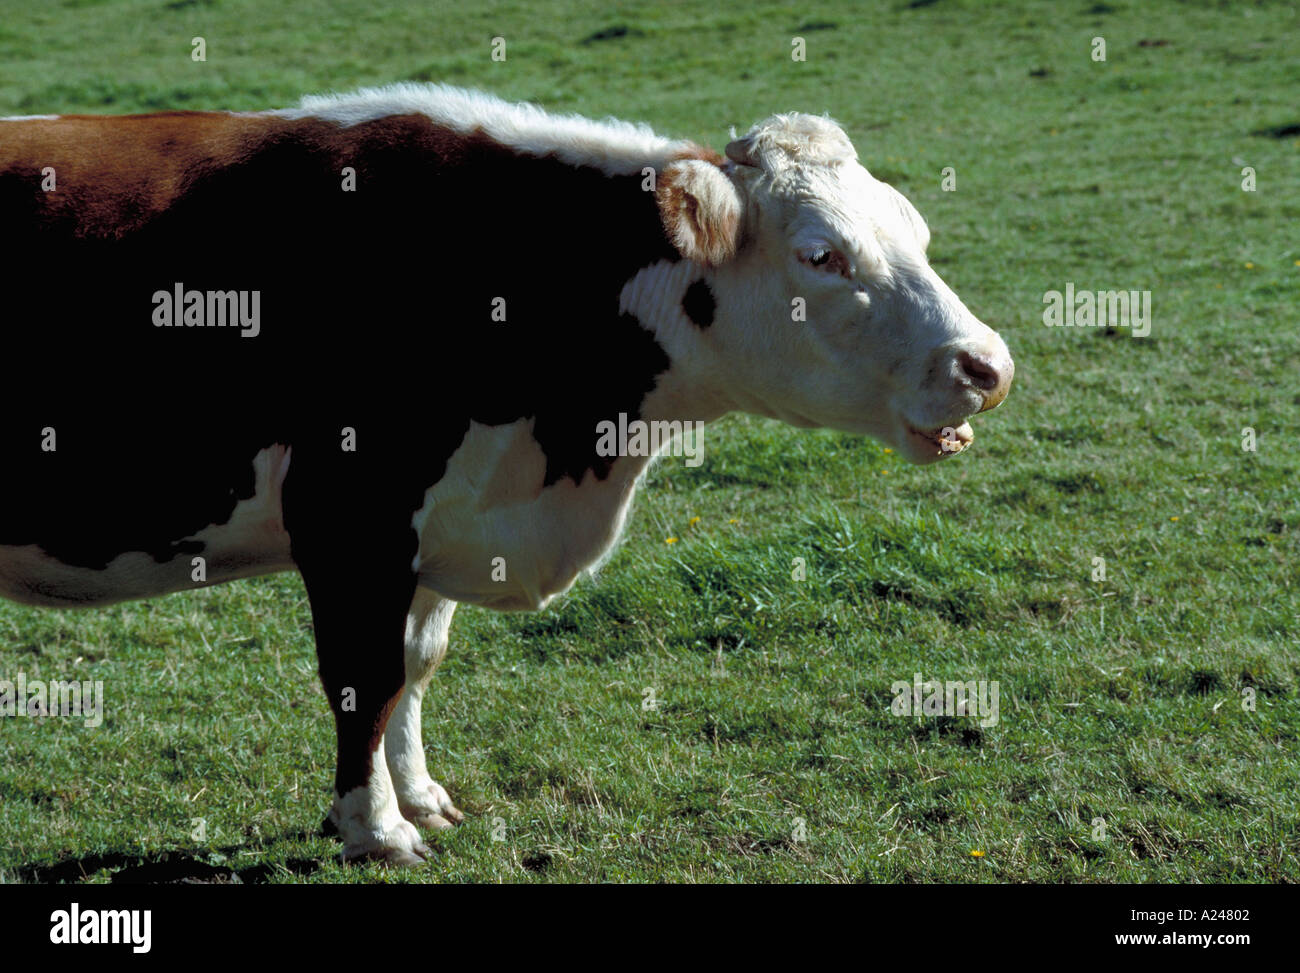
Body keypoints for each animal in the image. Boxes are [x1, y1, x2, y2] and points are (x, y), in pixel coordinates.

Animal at [0, 84, 1012, 865]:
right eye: (821, 254)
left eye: (916, 229)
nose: (988, 365)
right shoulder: (353, 520)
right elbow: (364, 675)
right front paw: (376, 829)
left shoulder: (438, 527)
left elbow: (415, 663)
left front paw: (417, 795)